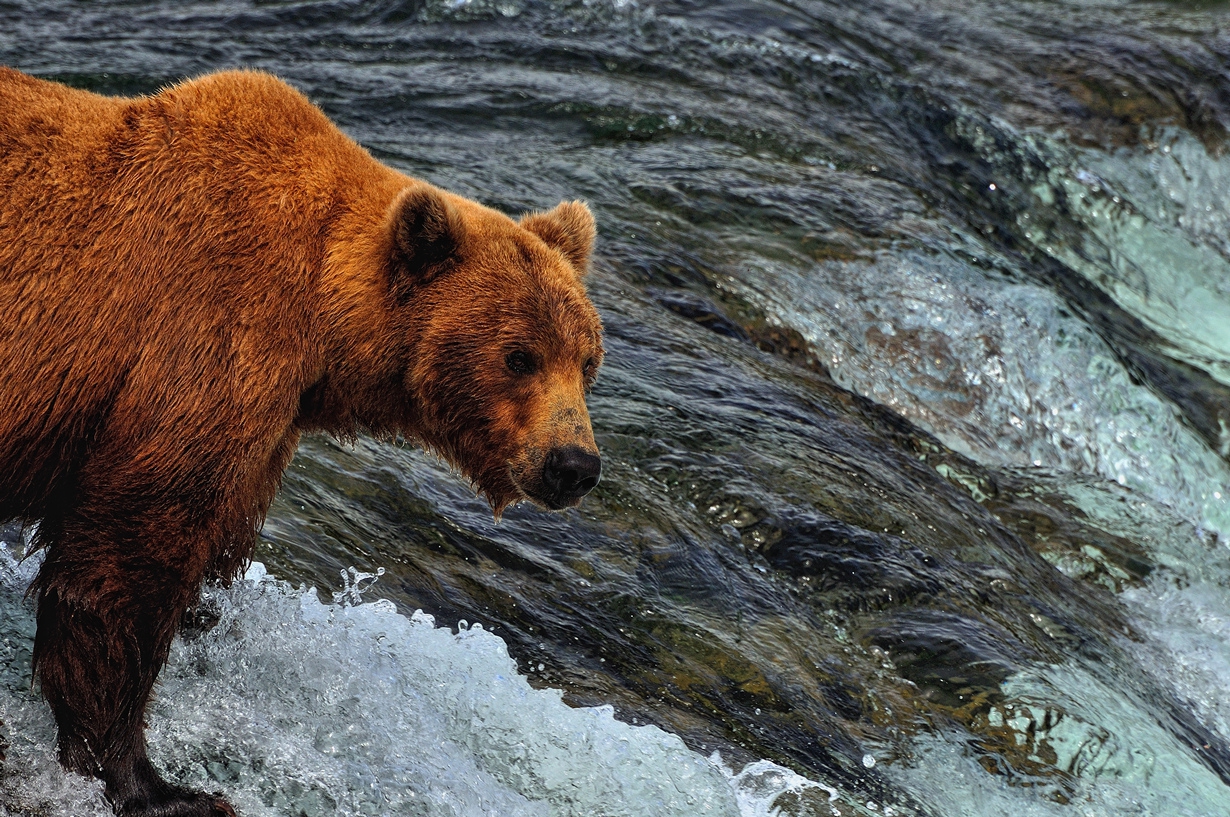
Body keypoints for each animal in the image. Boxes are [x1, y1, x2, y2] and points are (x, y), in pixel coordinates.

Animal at [0, 67, 603, 816]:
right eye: (519, 356)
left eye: (588, 360)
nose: (574, 463)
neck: (322, 321)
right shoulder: (201, 343)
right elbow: (122, 561)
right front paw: (155, 782)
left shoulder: (269, 429)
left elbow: (210, 551)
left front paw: (205, 624)